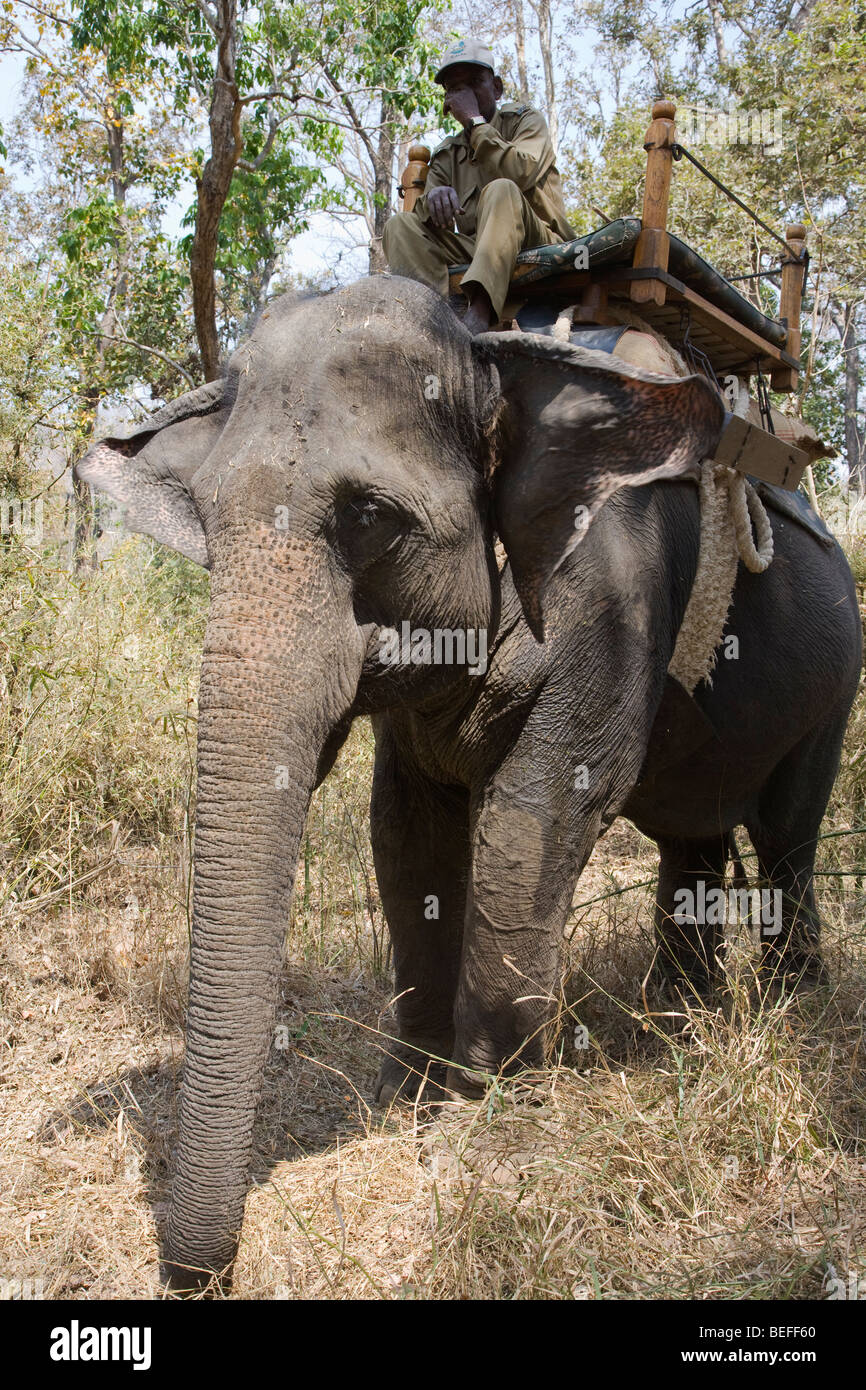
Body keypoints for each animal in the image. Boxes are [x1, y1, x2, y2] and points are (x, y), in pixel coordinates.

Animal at [77, 275, 862, 1291]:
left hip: (835, 679)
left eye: (369, 517)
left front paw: (481, 1121)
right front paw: (404, 1094)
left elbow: (540, 813)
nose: (195, 1276)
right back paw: (679, 1017)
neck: (490, 351)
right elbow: (406, 835)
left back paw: (789, 1005)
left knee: (786, 837)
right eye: (206, 524)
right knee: (693, 837)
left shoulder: (613, 592)